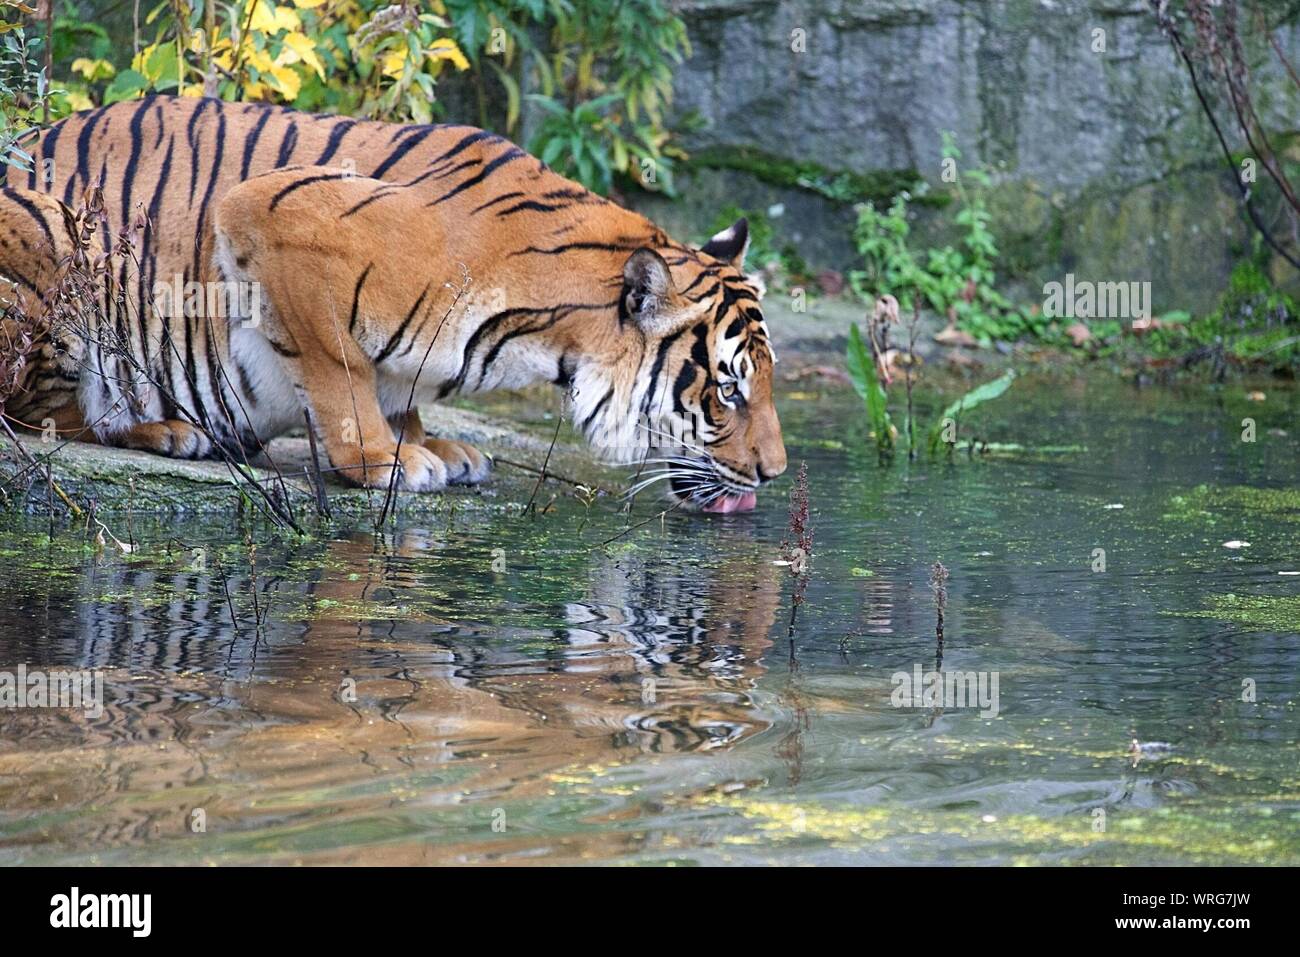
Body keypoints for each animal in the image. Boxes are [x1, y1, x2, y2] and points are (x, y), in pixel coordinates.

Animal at [0, 95, 786, 512]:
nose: (774, 475)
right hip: (57, 236)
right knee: (35, 414)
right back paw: (167, 427)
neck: (543, 336)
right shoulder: (272, 213)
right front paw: (384, 459)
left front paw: (431, 443)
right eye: (728, 391)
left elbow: (397, 384)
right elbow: (341, 368)